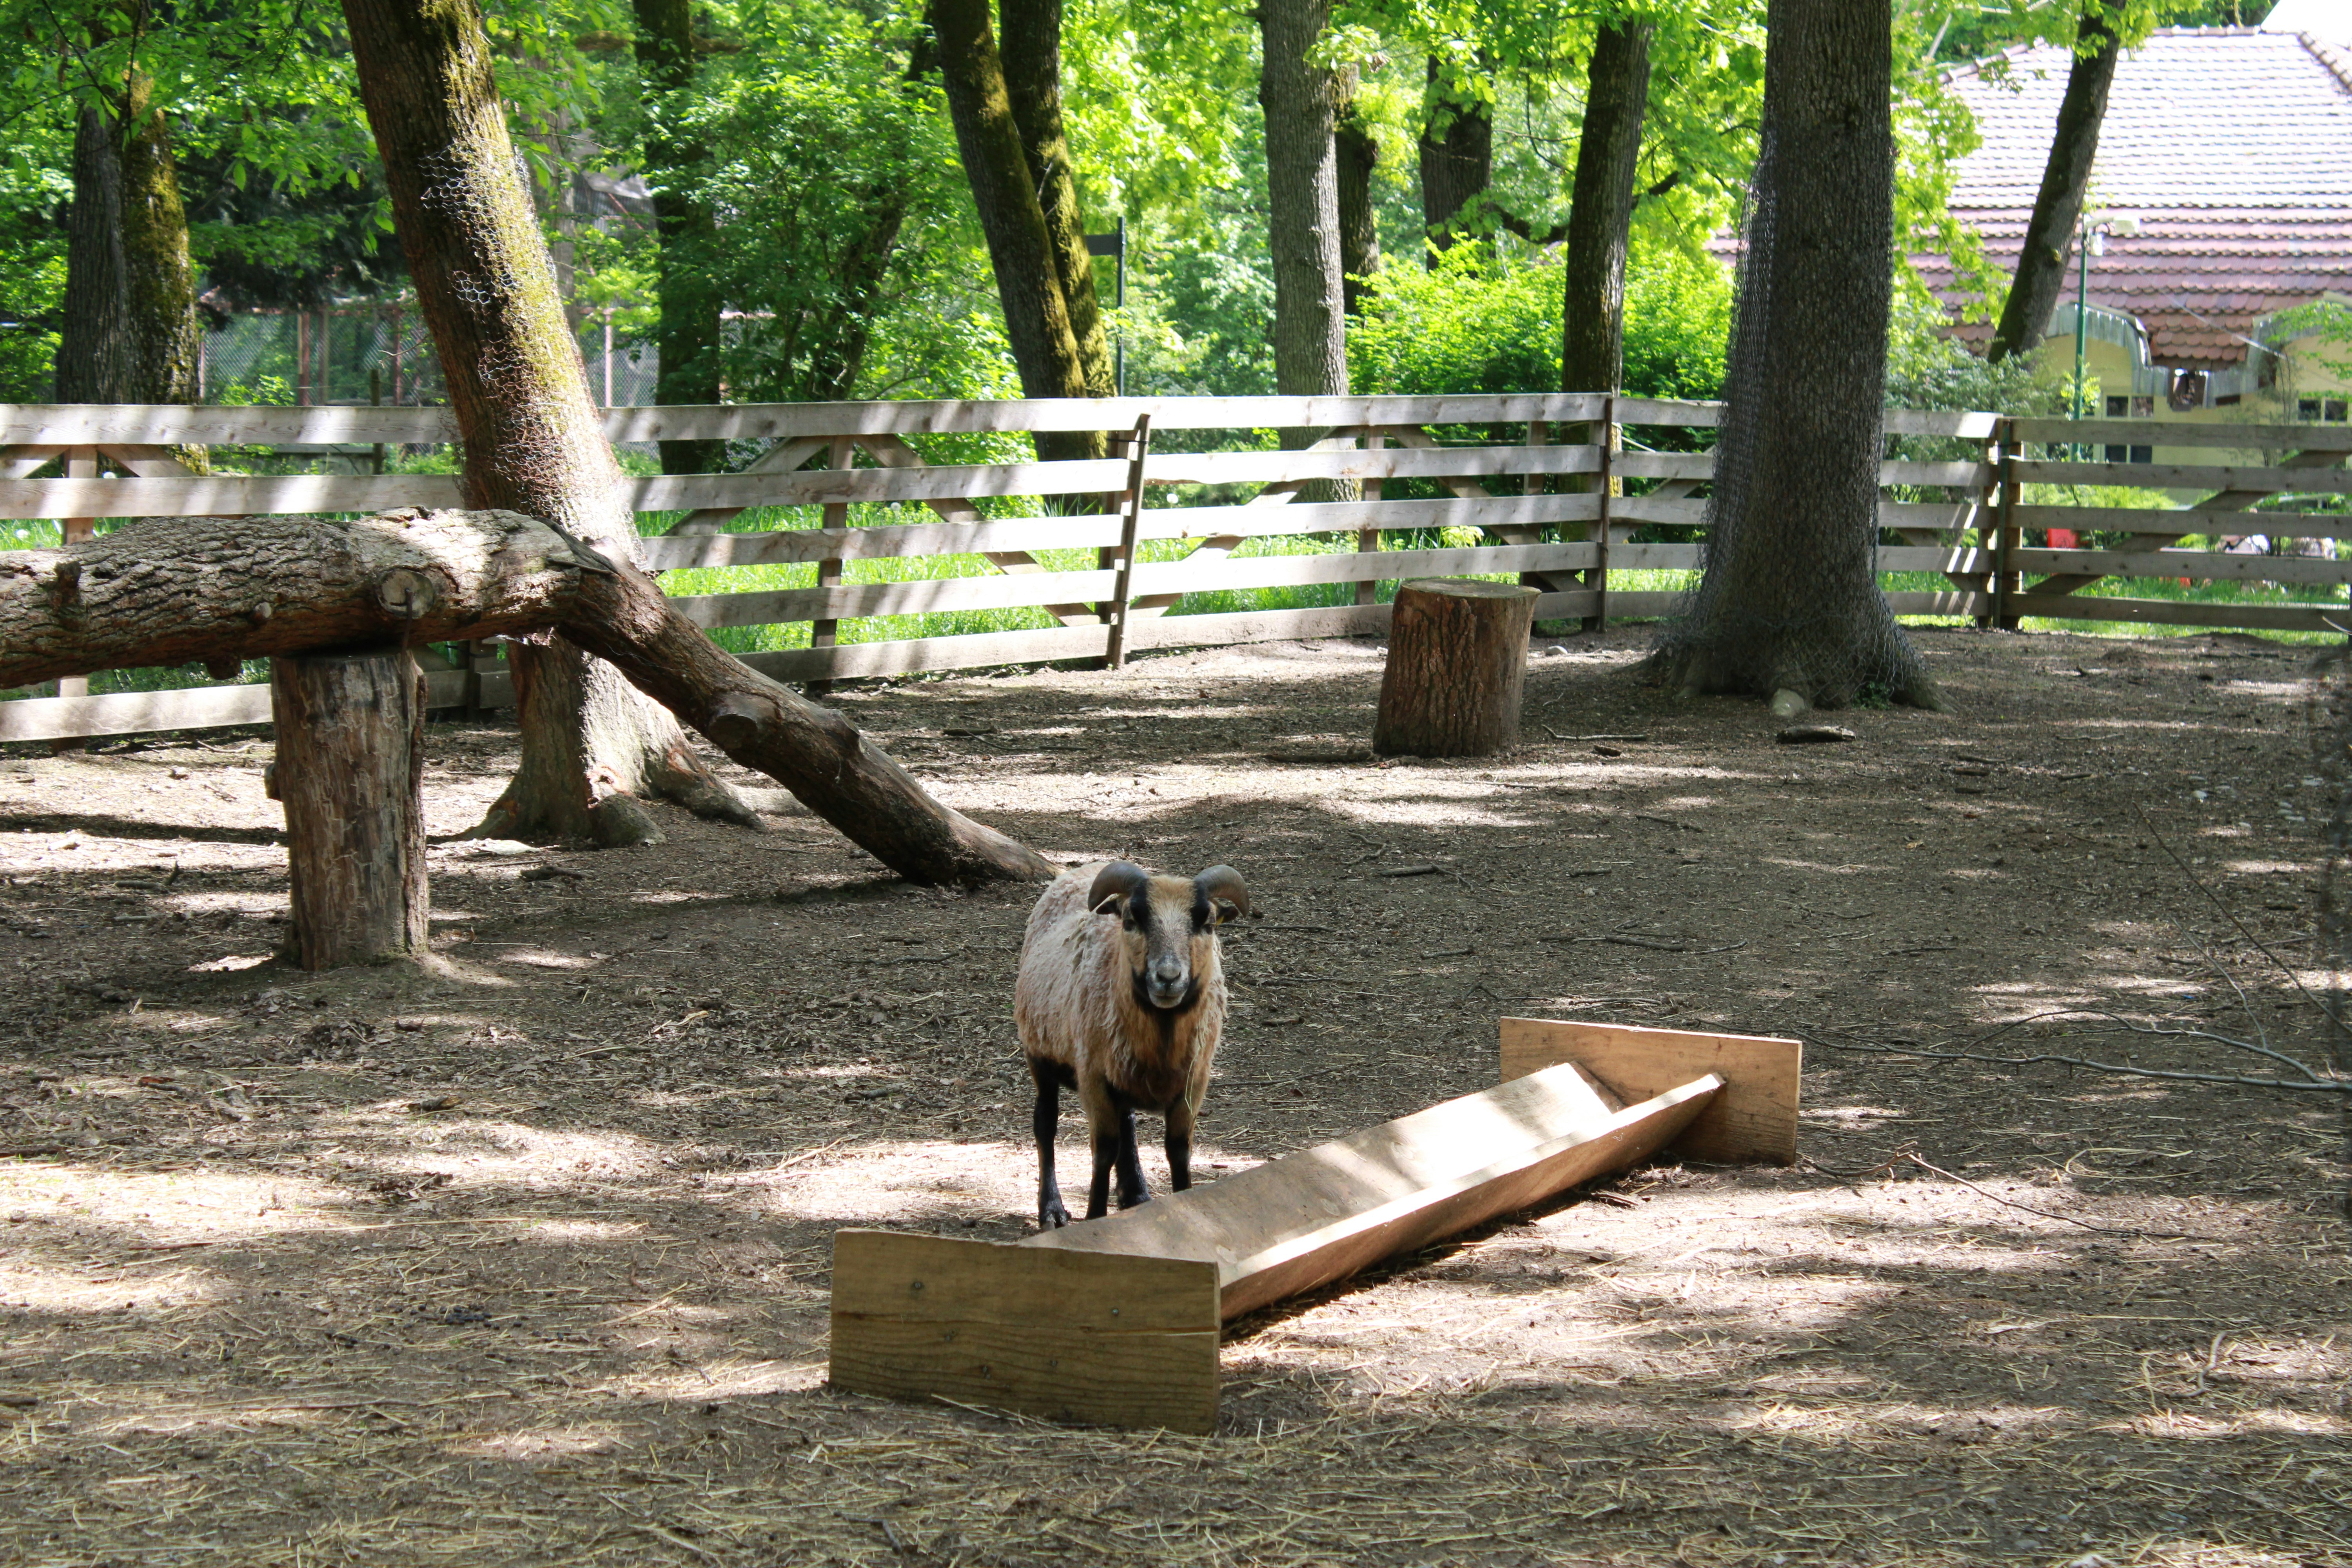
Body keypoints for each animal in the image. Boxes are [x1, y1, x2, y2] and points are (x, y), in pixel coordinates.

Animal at [1012, 859, 1250, 1229]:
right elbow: (1104, 1151)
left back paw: (1136, 1194)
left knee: (1128, 1122)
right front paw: (1095, 1216)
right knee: (1046, 1123)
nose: (1168, 978)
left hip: (1120, 1072)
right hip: (1039, 1051)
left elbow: (1178, 1150)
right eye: (1130, 921)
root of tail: (1083, 868)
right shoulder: (1094, 1077)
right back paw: (1051, 1210)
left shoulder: (1193, 1083)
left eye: (1208, 924)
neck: (1161, 1040)